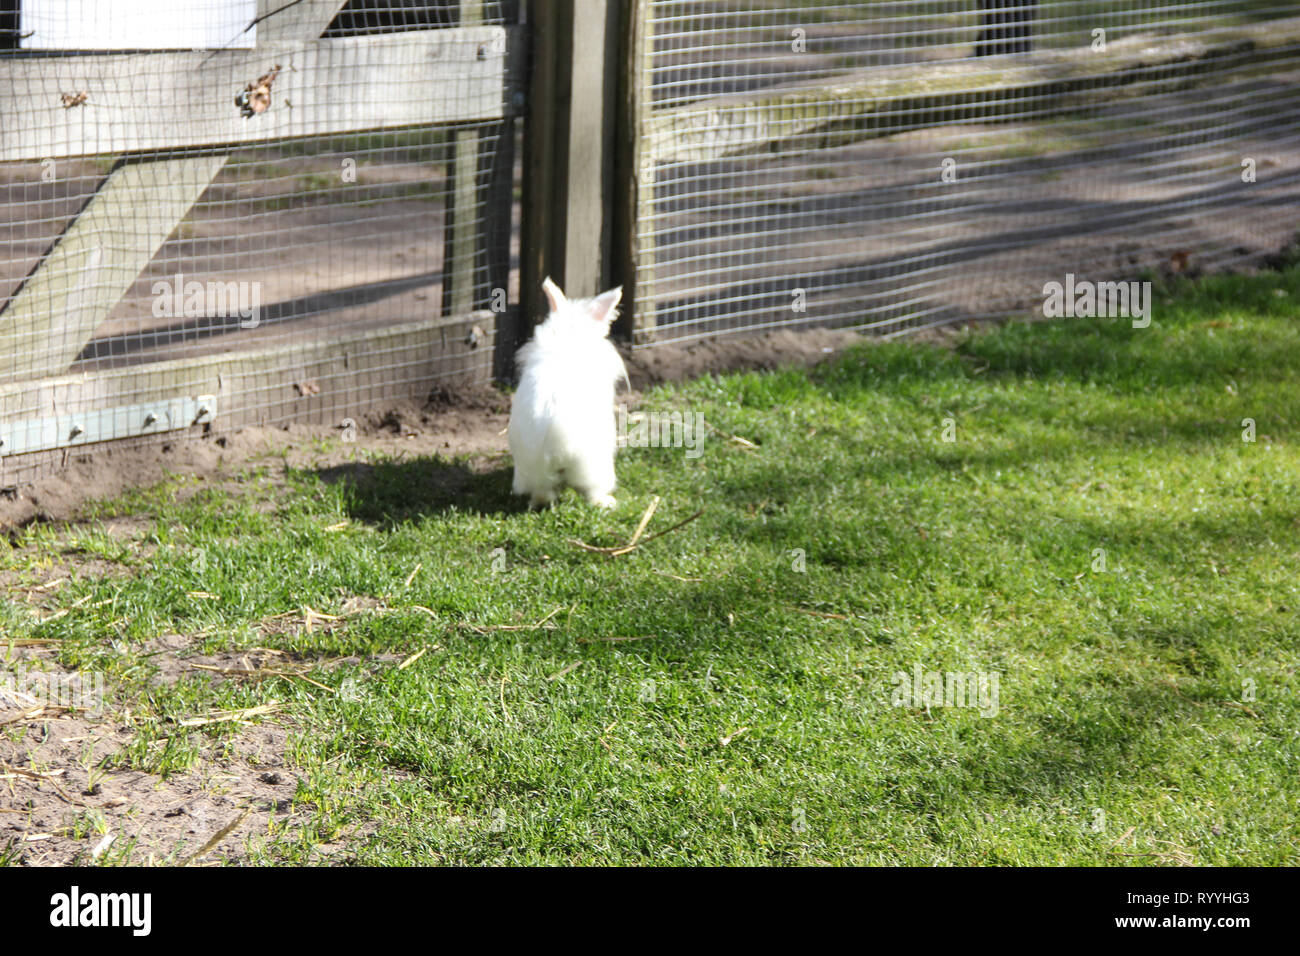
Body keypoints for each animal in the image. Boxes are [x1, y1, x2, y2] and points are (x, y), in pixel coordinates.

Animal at [509, 277, 629, 508]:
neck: (569, 335)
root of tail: (554, 448)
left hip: (533, 476)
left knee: (542, 494)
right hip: (596, 467)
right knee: (592, 493)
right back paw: (607, 502)